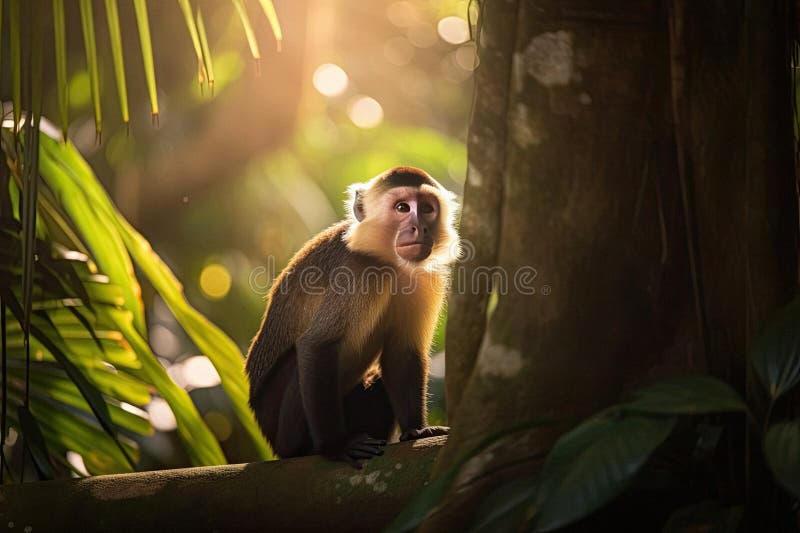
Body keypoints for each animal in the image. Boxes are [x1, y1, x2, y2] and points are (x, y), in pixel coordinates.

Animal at [245, 166, 459, 468]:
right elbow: (316, 345)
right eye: (403, 208)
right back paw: (304, 449)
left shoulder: (424, 278)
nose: (420, 227)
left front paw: (416, 429)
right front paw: (337, 447)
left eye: (428, 209)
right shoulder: (359, 270)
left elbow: (403, 351)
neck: (390, 262)